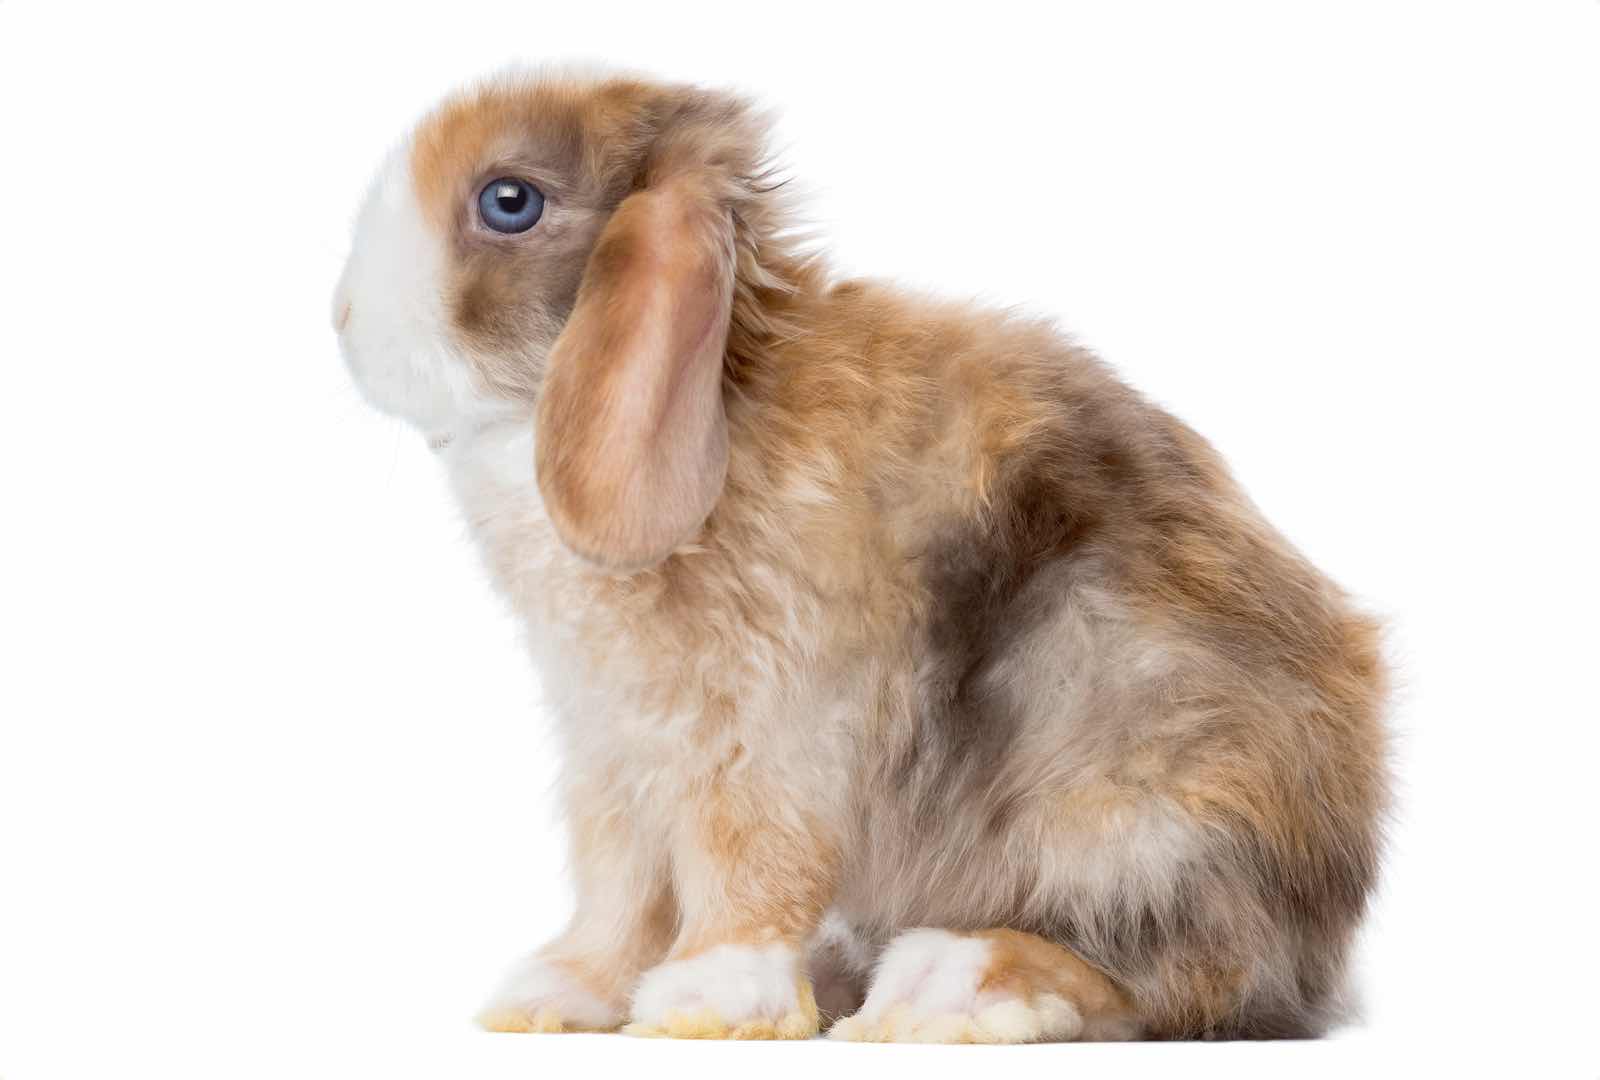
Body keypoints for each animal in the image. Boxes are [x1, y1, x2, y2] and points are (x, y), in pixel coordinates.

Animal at [332, 67, 1389, 1043]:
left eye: (508, 201)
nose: (342, 317)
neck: (731, 394)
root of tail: (1323, 929)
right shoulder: (614, 748)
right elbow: (619, 883)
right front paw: (558, 996)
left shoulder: (775, 729)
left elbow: (747, 859)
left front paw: (704, 999)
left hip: (1131, 792)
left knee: (1173, 977)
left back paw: (947, 984)